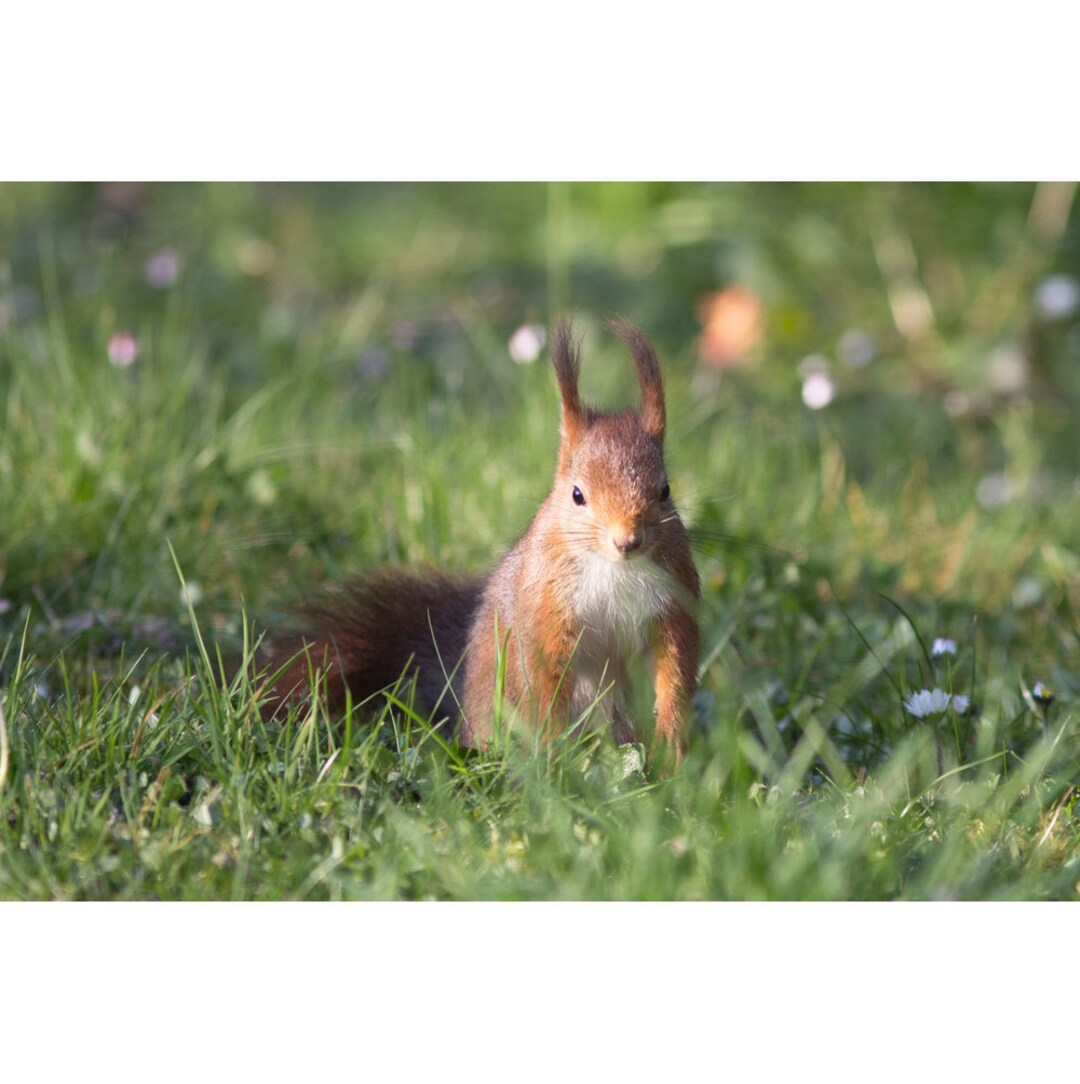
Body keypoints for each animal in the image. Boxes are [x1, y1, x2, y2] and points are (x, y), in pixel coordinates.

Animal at [259, 317, 701, 764]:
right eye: (577, 494)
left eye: (665, 491)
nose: (627, 541)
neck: (615, 569)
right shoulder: (546, 608)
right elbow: (544, 679)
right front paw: (552, 753)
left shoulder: (674, 603)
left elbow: (676, 669)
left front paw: (671, 743)